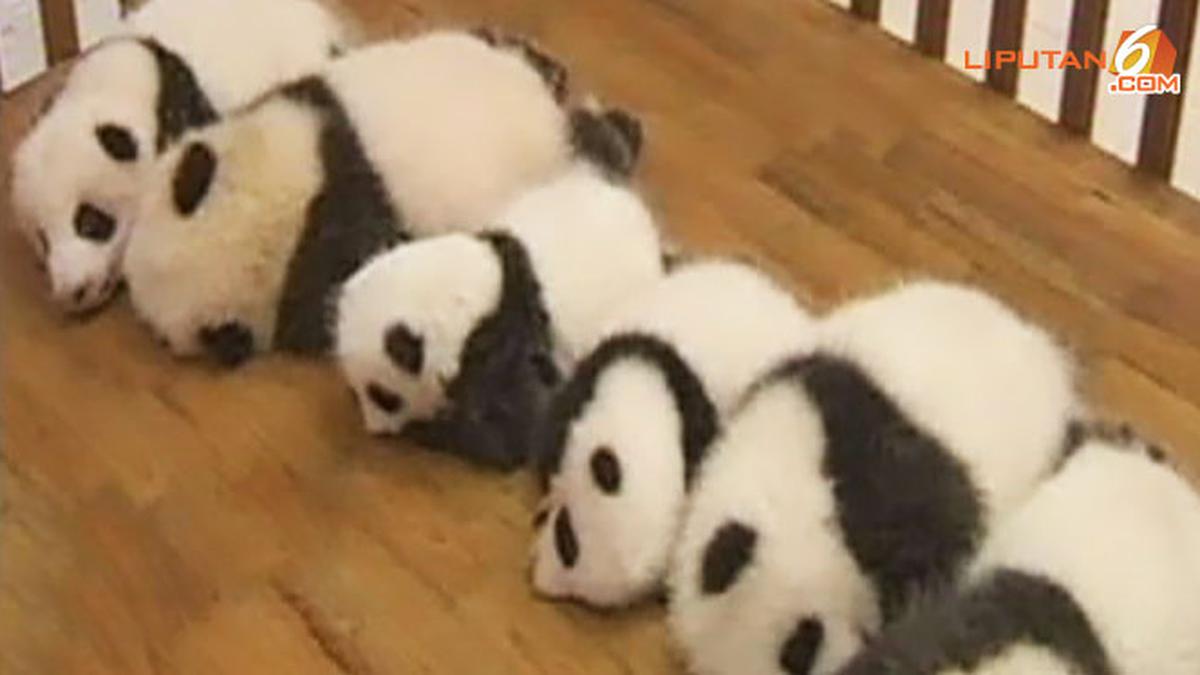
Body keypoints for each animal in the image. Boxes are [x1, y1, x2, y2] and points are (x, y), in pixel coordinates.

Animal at [333, 160, 663, 470]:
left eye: (383, 396)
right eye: (360, 392)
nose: (375, 430)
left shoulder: (510, 346)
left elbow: (514, 433)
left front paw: (434, 428)